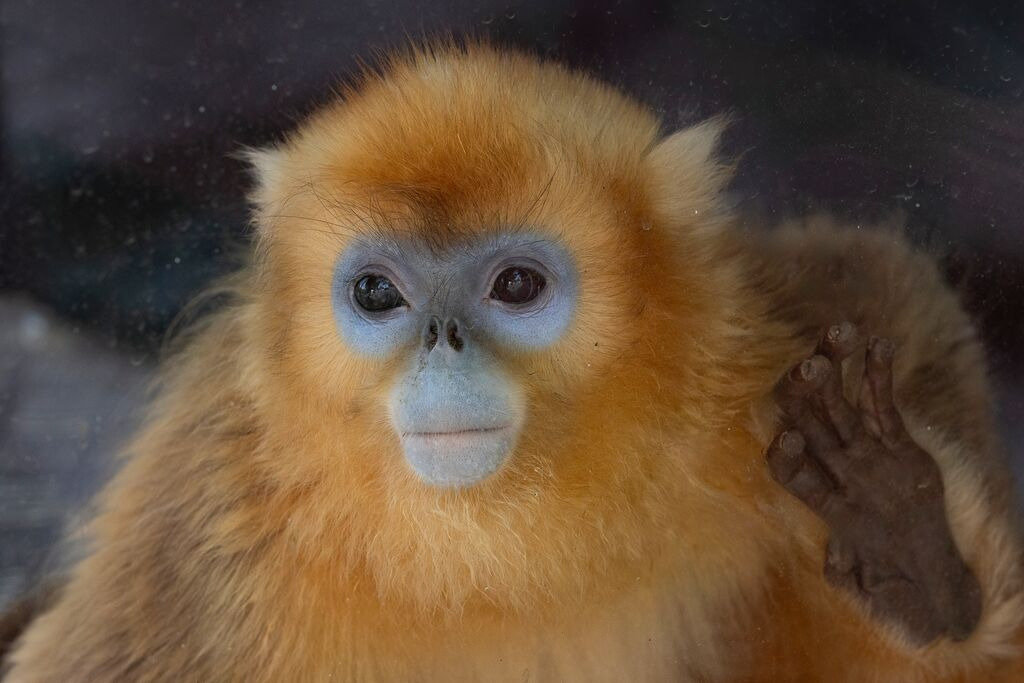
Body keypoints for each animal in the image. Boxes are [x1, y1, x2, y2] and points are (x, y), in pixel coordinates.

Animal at [3, 42, 1023, 682]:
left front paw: (905, 555)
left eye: (518, 285)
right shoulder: (219, 513)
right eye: (377, 294)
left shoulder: (784, 370)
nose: (442, 343)